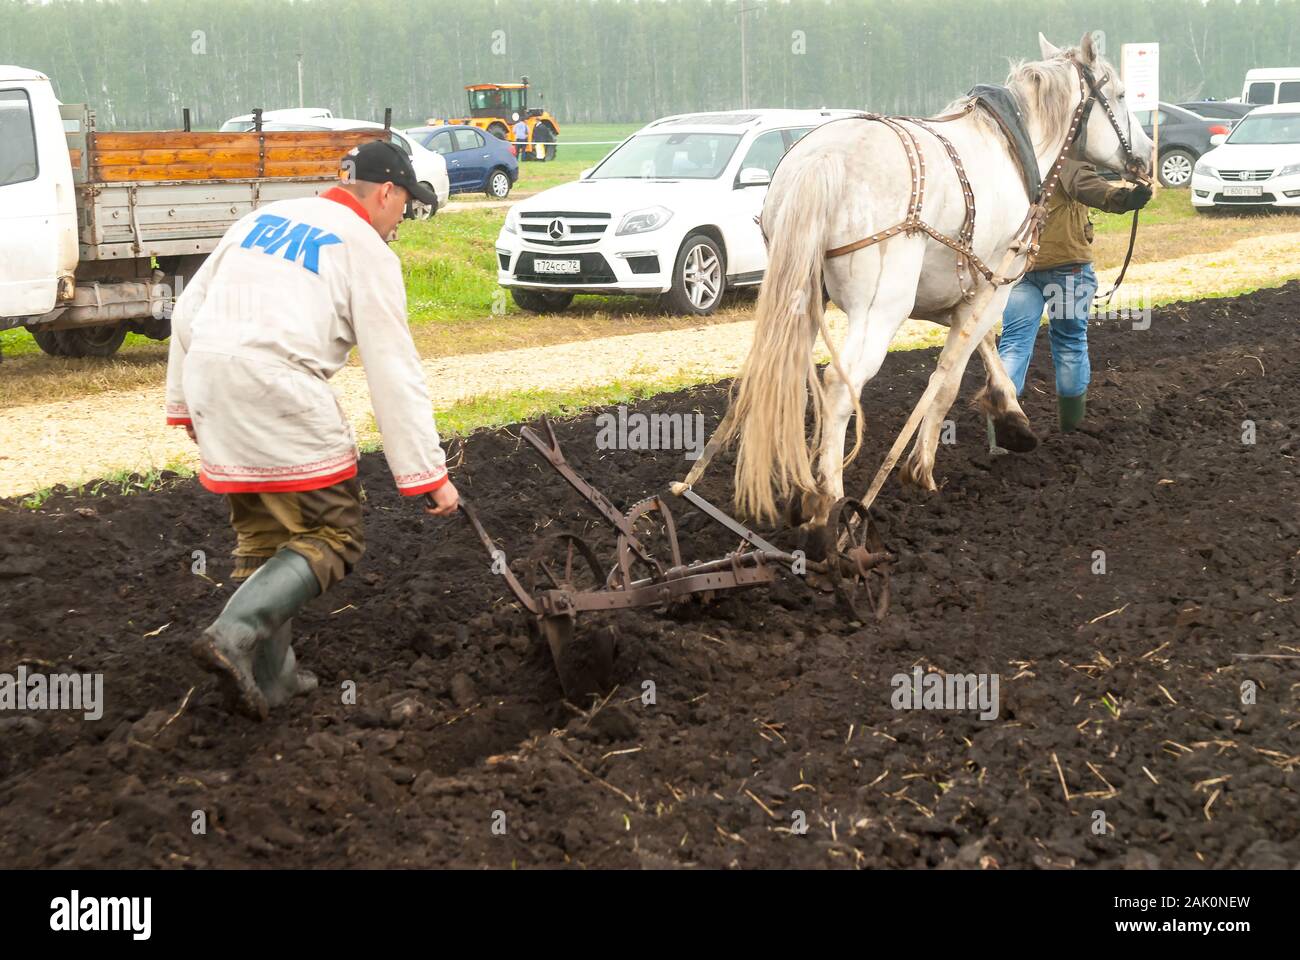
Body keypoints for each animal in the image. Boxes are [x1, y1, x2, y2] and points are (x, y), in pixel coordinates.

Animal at [707, 33, 1152, 529]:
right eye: (1119, 95)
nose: (1148, 153)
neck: (1010, 146)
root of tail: (822, 161)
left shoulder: (952, 291)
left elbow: (981, 347)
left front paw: (1010, 418)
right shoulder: (995, 284)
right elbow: (949, 378)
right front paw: (922, 469)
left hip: (805, 300)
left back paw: (804, 492)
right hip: (882, 309)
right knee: (840, 384)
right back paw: (830, 509)